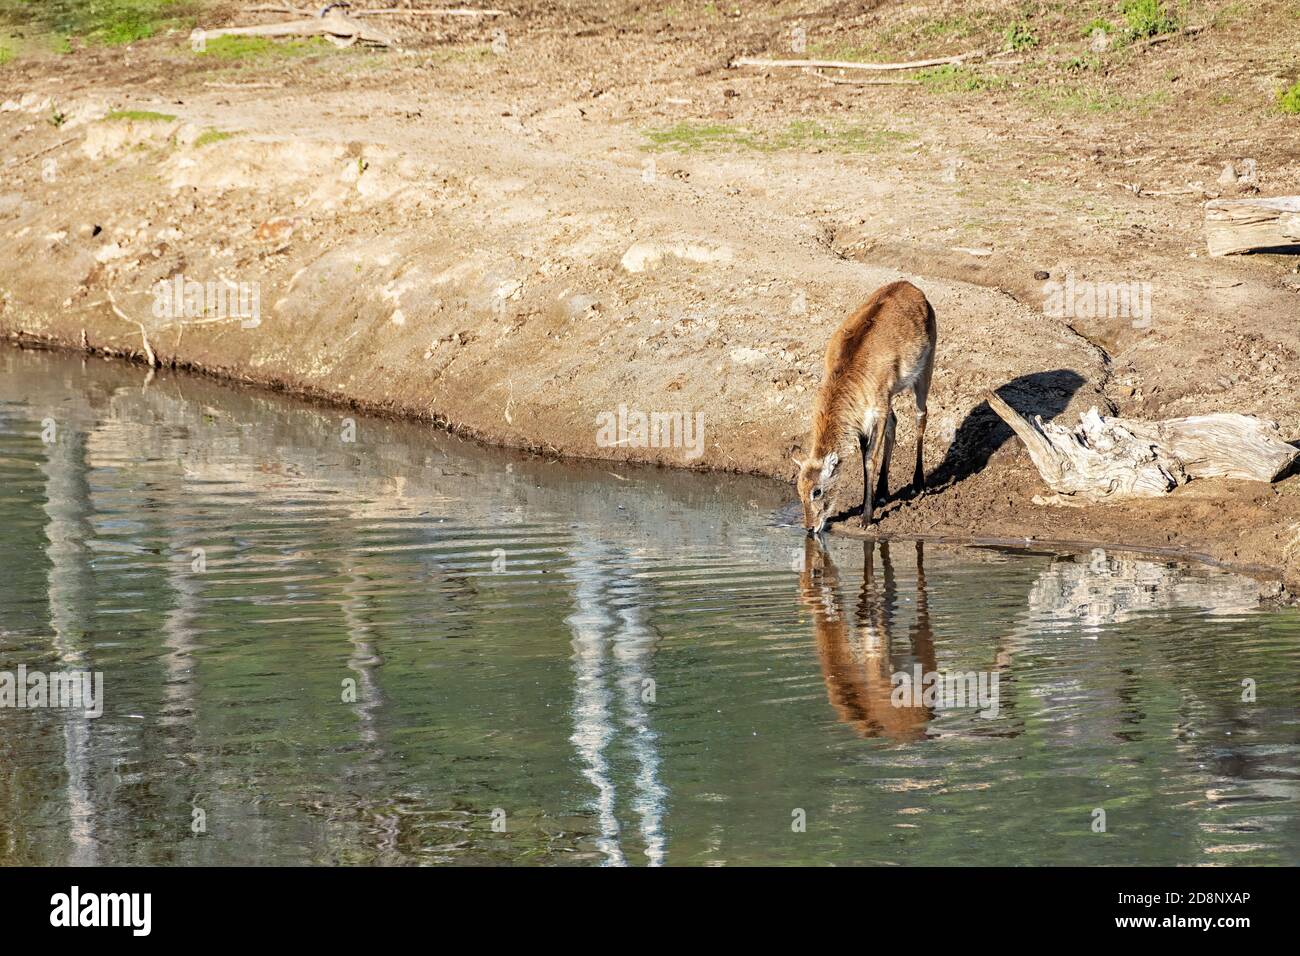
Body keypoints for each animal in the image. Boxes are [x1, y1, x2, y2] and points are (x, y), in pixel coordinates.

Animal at [792, 280, 936, 535]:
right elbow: (864, 456)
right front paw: (868, 504)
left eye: (817, 491)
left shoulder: (878, 409)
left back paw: (917, 483)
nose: (810, 527)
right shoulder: (862, 419)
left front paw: (866, 518)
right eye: (799, 489)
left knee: (921, 415)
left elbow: (870, 458)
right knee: (895, 424)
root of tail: (911, 286)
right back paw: (882, 493)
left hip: (924, 372)